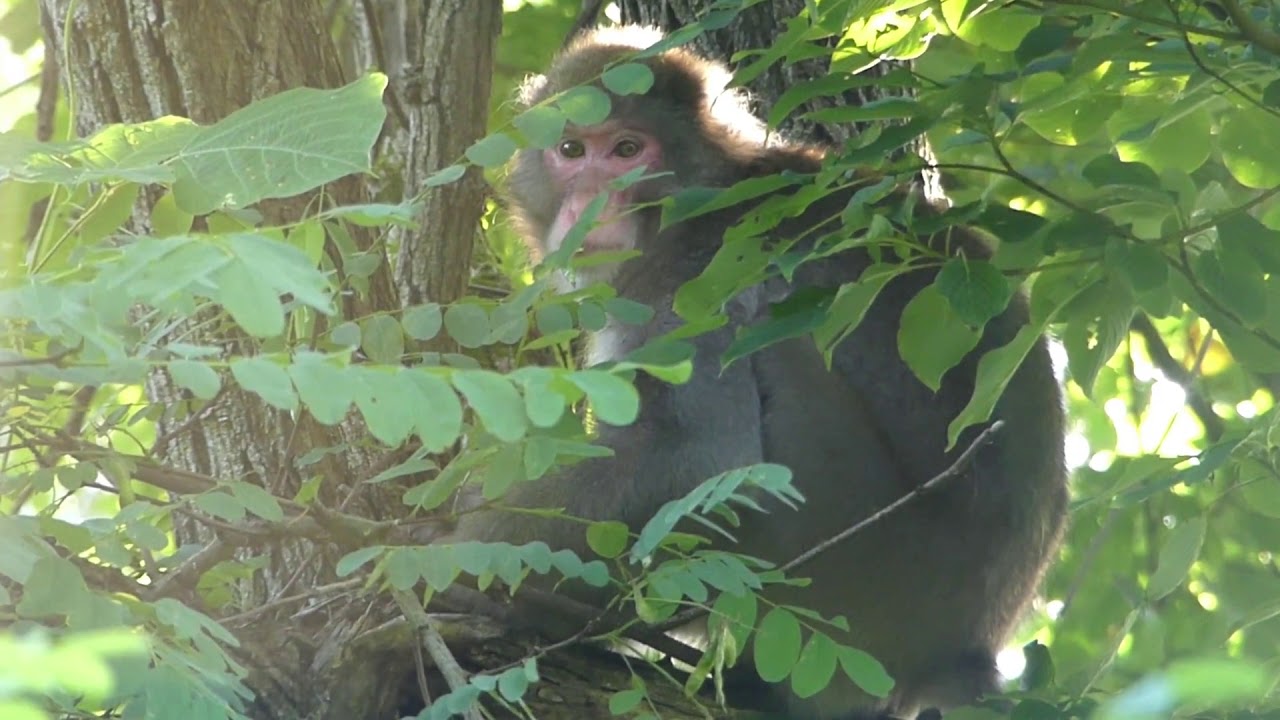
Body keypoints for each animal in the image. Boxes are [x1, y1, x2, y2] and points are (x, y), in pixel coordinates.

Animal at [450, 26, 1069, 720]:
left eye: (628, 150)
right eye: (571, 150)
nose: (591, 204)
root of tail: (964, 648)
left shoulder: (695, 281)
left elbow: (693, 459)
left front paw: (451, 566)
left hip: (861, 582)